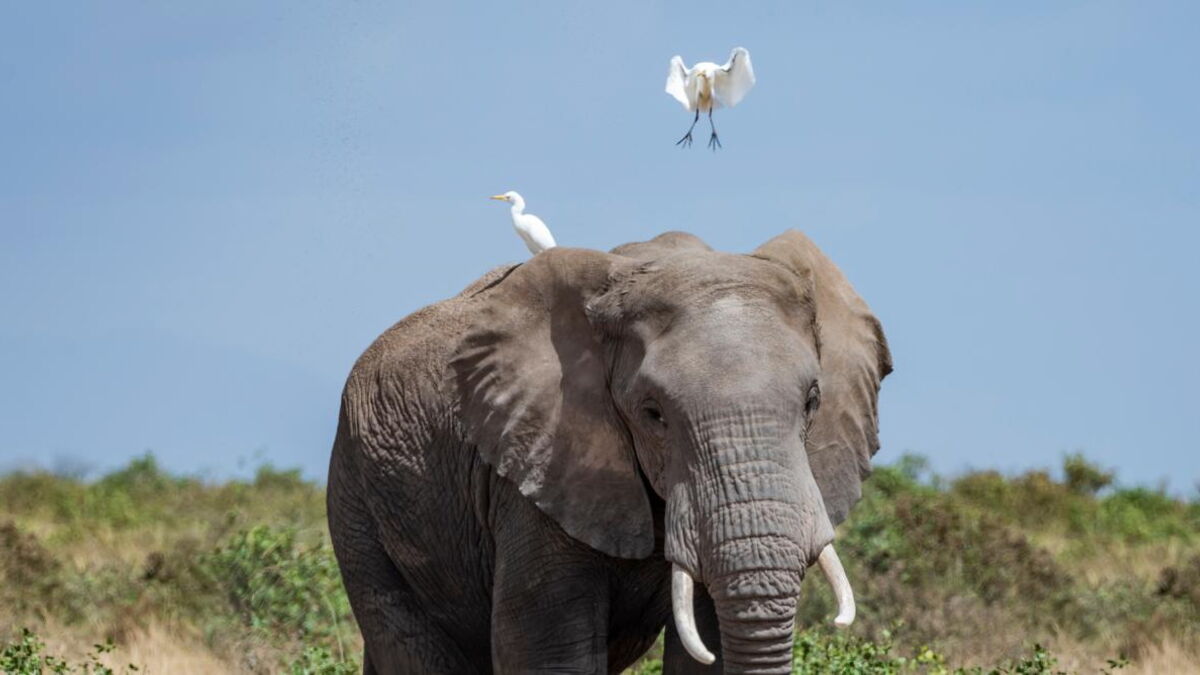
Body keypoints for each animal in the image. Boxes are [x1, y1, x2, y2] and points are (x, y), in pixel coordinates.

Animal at [327, 230, 892, 674]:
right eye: (653, 413)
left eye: (813, 401)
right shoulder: (536, 466)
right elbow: (551, 653)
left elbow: (709, 649)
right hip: (357, 506)